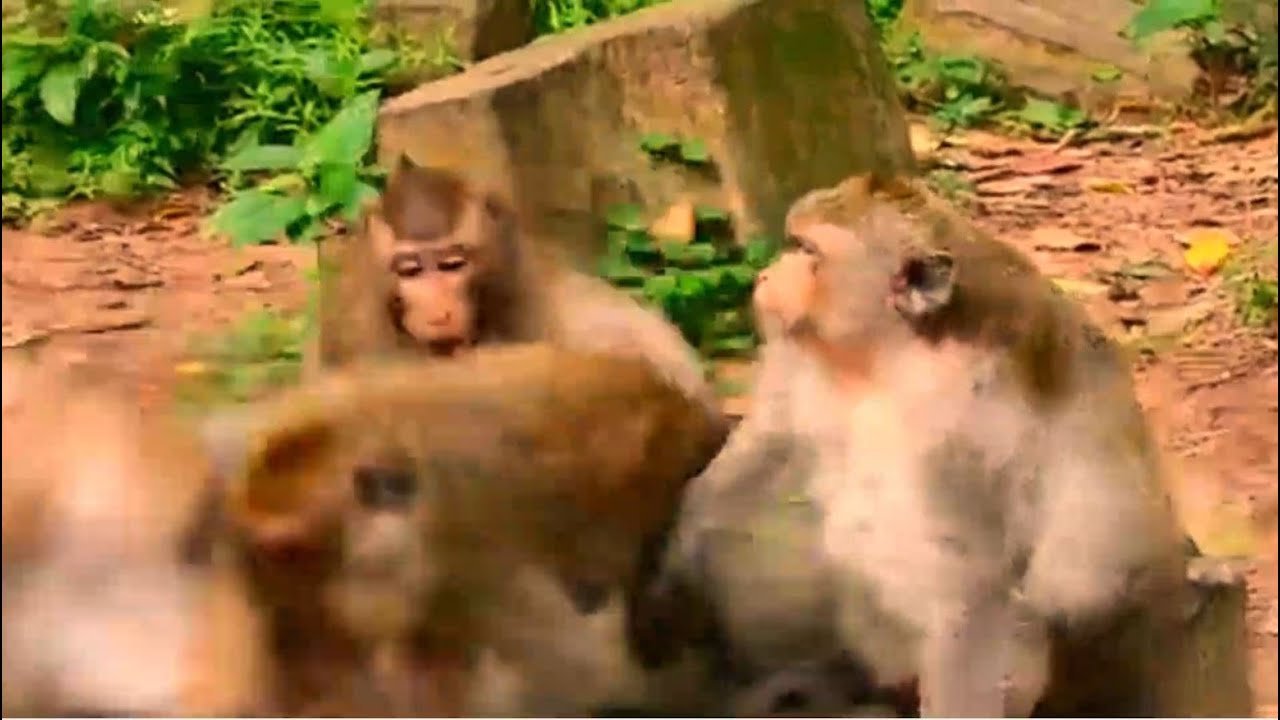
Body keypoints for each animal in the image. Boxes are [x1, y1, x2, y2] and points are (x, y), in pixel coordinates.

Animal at [640, 173, 1216, 717]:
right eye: (795, 244)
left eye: (809, 253)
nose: (765, 277)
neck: (883, 354)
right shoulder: (797, 345)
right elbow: (767, 439)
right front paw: (675, 564)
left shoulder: (967, 416)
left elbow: (971, 582)